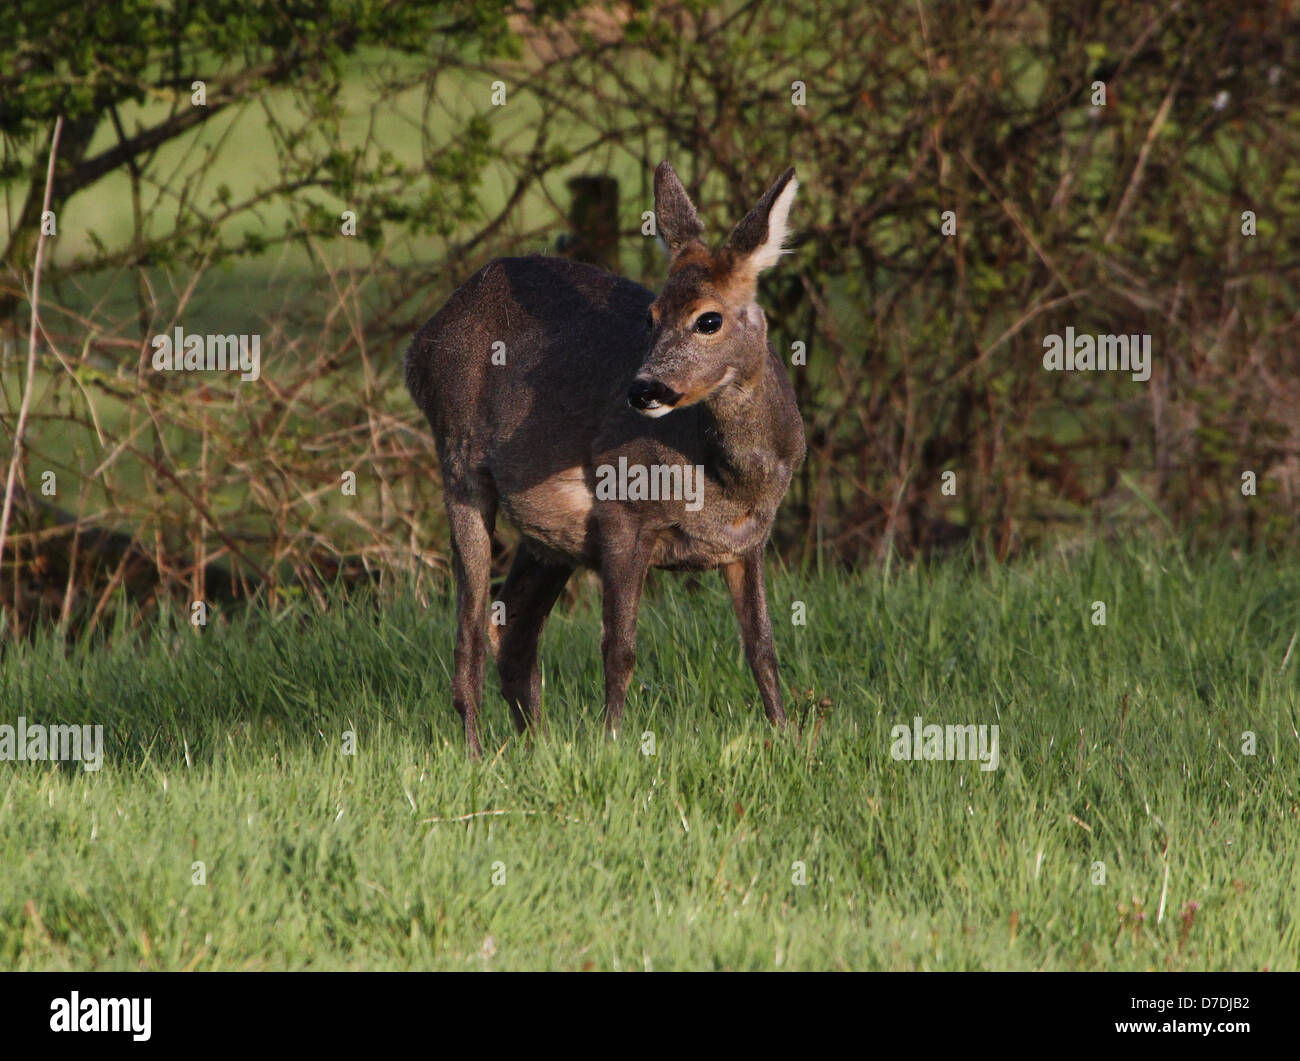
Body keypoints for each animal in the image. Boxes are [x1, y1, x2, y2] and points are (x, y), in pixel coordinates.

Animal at [404, 161, 806, 757]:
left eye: (708, 319)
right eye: (651, 316)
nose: (643, 390)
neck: (726, 480)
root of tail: (419, 345)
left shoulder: (749, 540)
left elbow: (762, 648)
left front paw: (788, 738)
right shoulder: (622, 511)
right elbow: (619, 647)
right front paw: (613, 743)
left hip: (547, 534)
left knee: (512, 624)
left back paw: (538, 747)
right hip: (459, 462)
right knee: (470, 628)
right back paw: (477, 752)